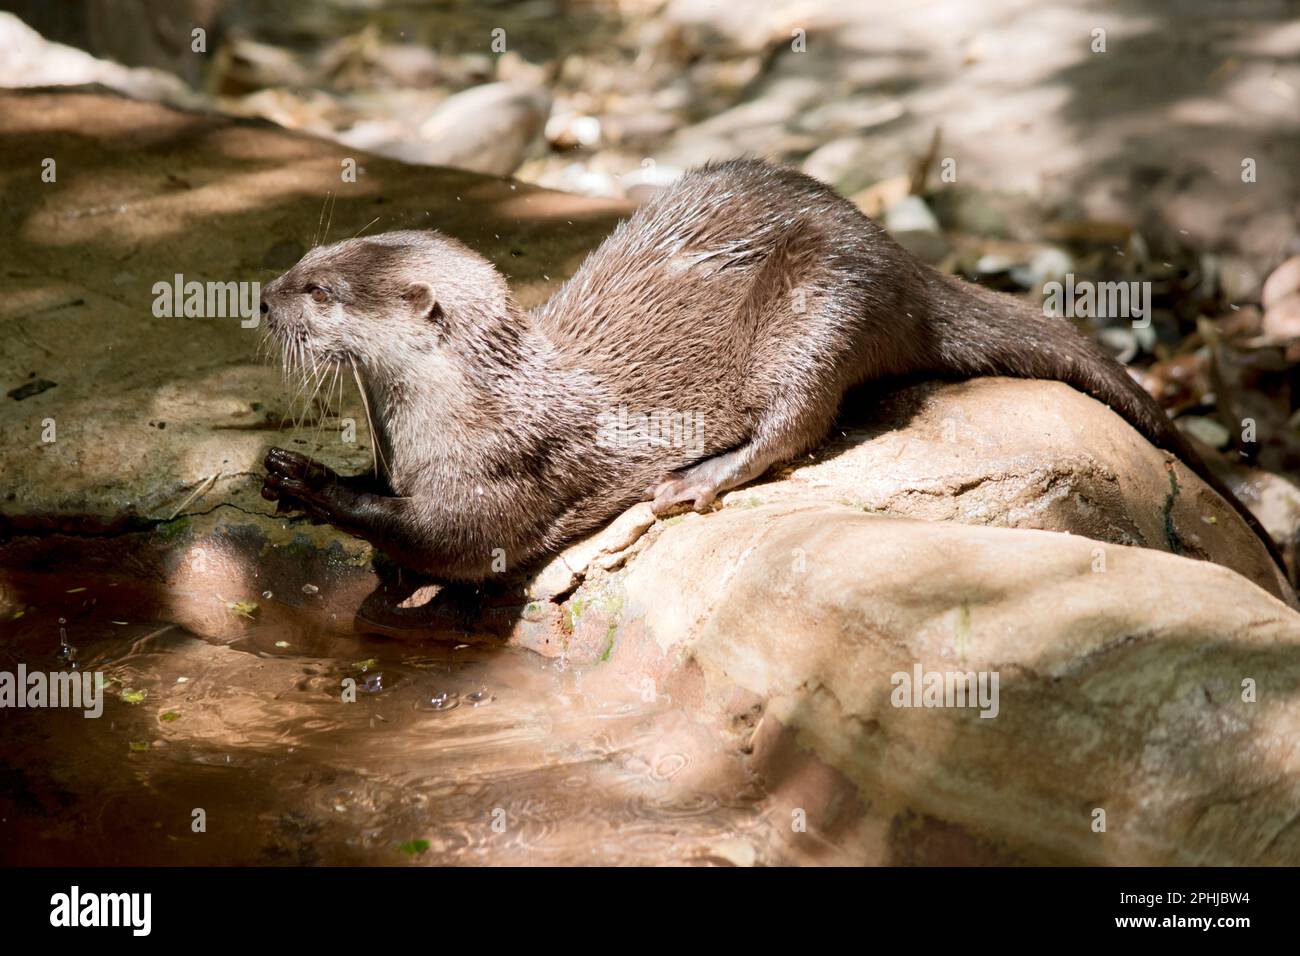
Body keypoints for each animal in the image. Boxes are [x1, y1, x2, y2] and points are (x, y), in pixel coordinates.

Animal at [259, 158, 1285, 582]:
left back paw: (696, 479)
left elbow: (456, 540)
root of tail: (895, 253)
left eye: (323, 289)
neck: (455, 413)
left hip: (820, 303)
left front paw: (305, 482)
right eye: (305, 262)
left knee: (797, 421)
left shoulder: (505, 469)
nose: (262, 298)